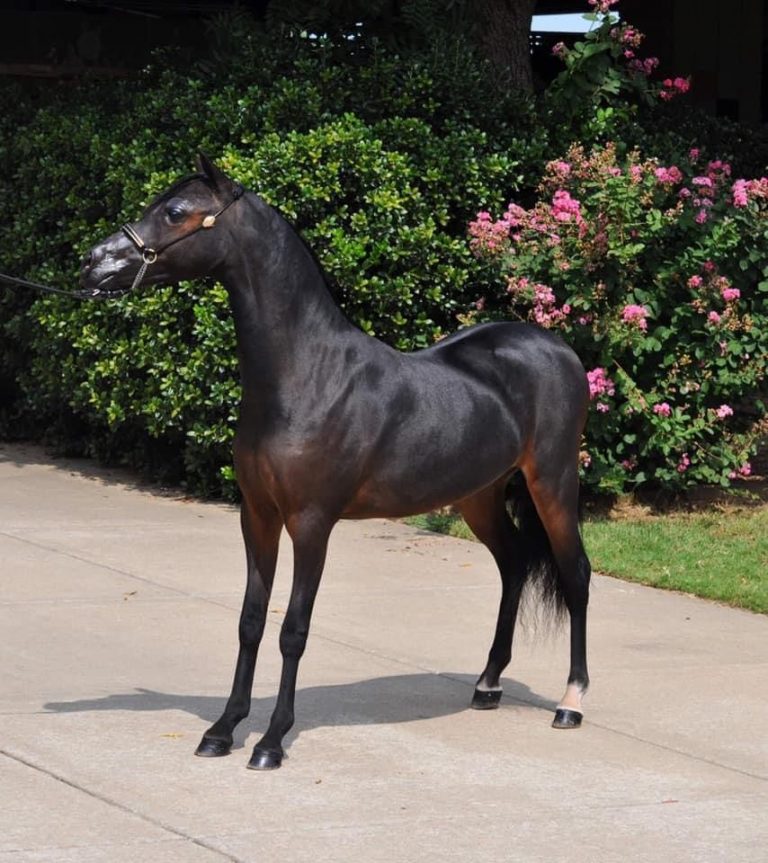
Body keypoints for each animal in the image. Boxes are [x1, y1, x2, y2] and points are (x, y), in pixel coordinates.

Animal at [80, 155, 592, 770]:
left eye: (176, 211)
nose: (93, 262)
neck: (306, 374)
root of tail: (556, 347)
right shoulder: (257, 517)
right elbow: (251, 622)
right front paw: (223, 730)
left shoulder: (311, 523)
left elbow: (293, 630)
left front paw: (271, 742)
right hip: (480, 496)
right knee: (514, 565)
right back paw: (487, 684)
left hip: (553, 482)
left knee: (576, 574)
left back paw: (571, 703)